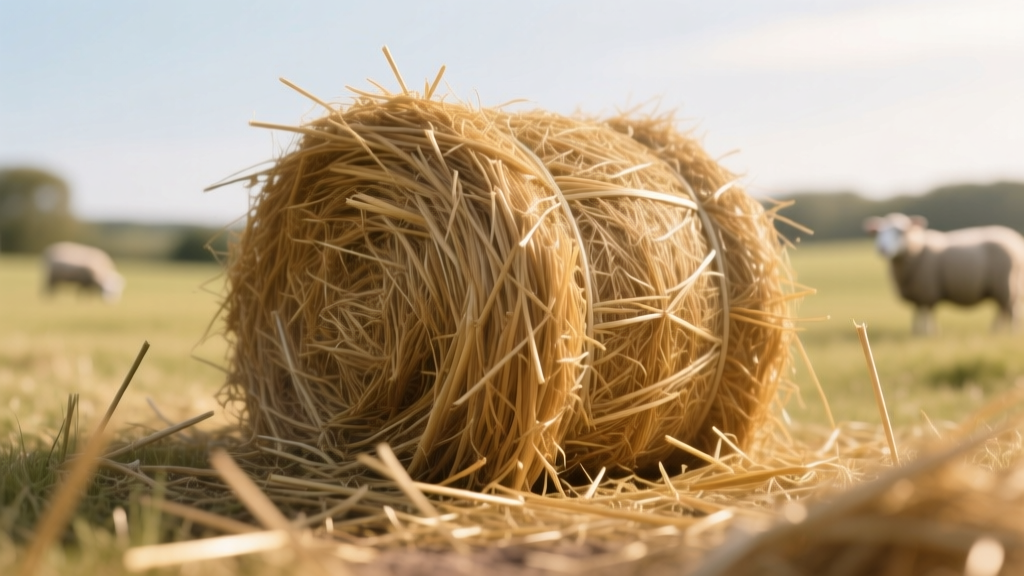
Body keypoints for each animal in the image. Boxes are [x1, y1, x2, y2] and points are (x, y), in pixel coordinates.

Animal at [862, 213, 1024, 335]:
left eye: (900, 232)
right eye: (878, 232)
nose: (882, 249)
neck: (916, 250)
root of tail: (1017, 240)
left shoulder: (928, 291)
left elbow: (927, 313)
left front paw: (929, 333)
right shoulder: (918, 294)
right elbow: (917, 313)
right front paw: (916, 332)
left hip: (1005, 285)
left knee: (1009, 311)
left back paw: (1009, 332)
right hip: (1006, 288)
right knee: (1004, 310)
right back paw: (997, 331)